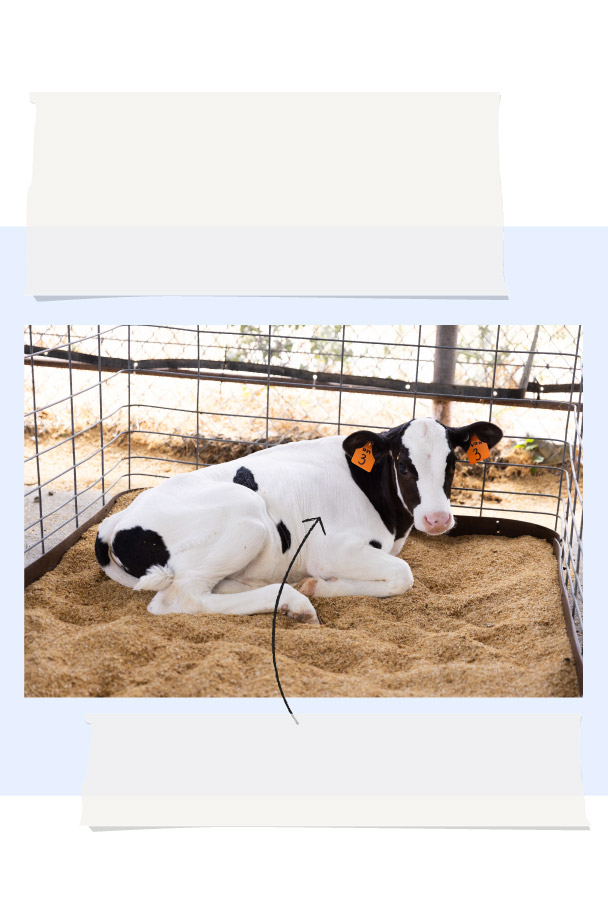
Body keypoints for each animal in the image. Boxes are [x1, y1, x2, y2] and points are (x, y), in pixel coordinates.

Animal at [95, 417, 502, 624]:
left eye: (452, 462)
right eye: (403, 464)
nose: (437, 519)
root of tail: (115, 522)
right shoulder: (332, 549)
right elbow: (403, 575)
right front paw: (318, 587)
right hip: (248, 516)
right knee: (181, 598)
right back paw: (295, 601)